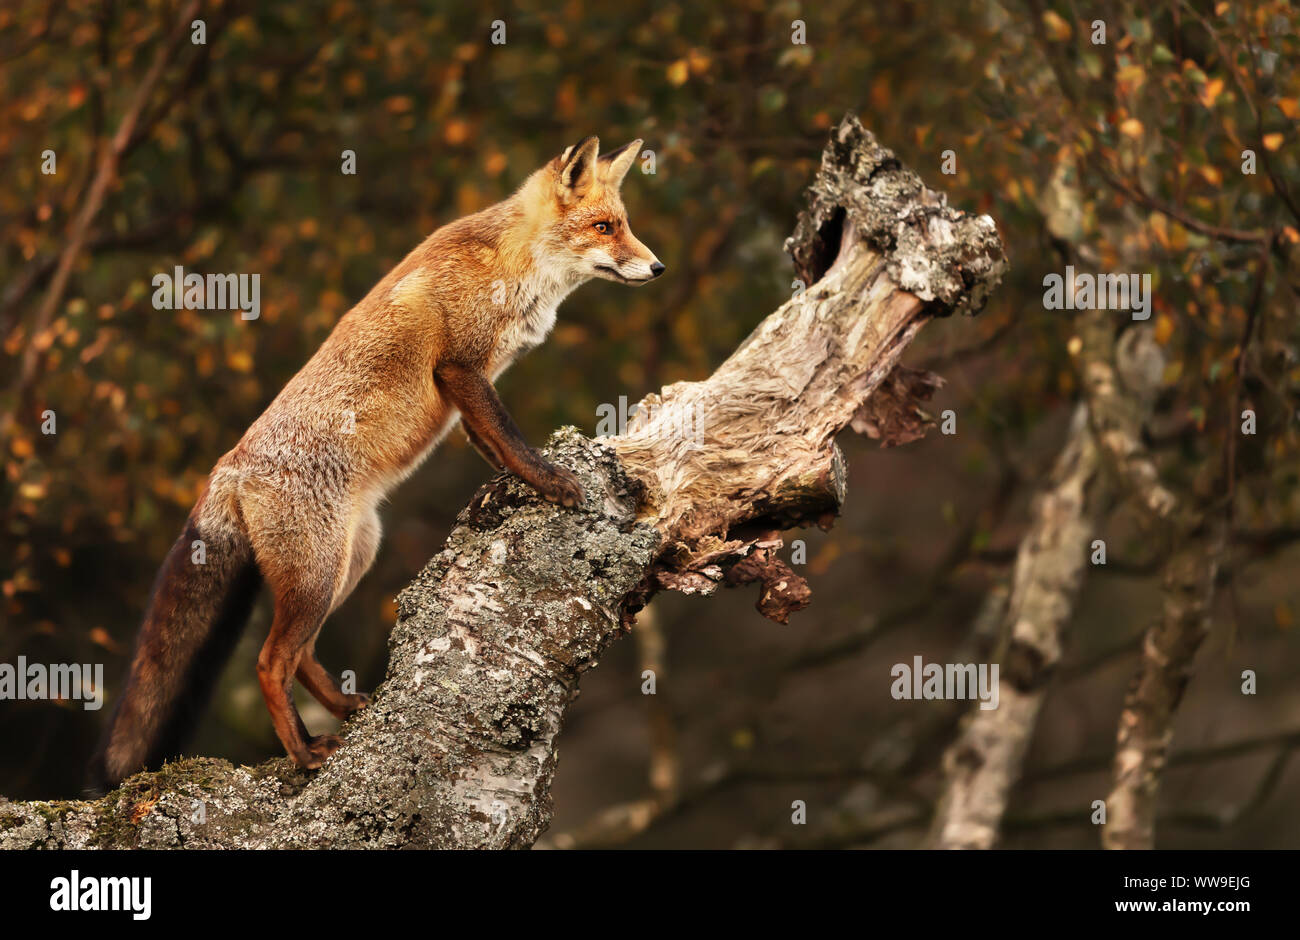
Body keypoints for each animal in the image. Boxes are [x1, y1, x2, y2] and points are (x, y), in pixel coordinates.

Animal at [88, 136, 663, 790]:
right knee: (269, 661)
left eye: (624, 224)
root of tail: (227, 468)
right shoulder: (461, 368)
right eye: (603, 227)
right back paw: (305, 753)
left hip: (352, 557)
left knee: (302, 654)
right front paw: (551, 480)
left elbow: (490, 443)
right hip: (318, 573)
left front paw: (508, 487)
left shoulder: (471, 385)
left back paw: (341, 709)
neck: (509, 265)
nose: (658, 268)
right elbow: (510, 435)